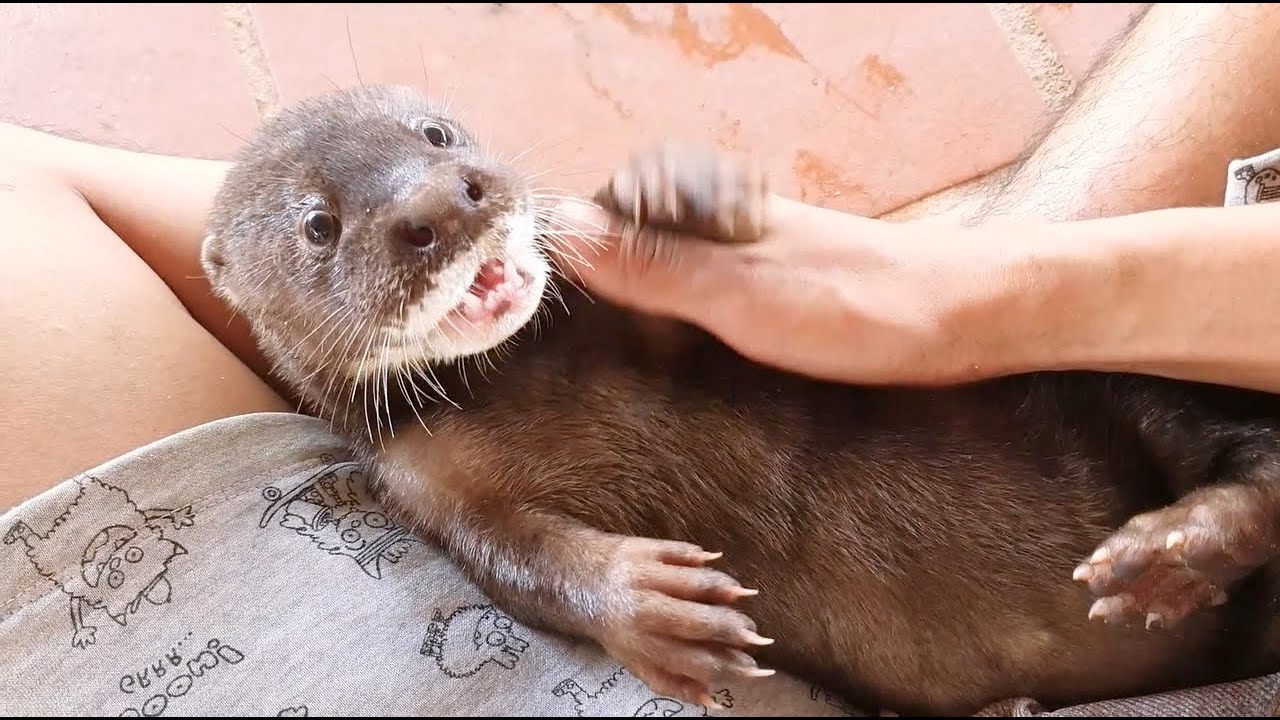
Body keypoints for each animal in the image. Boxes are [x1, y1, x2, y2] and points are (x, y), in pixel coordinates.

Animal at [200, 83, 1280, 716]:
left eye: (435, 131)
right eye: (317, 223)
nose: (435, 201)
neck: (521, 385)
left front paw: (678, 192)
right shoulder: (430, 494)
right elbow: (531, 569)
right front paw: (657, 612)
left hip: (1137, 399)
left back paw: (1171, 550)